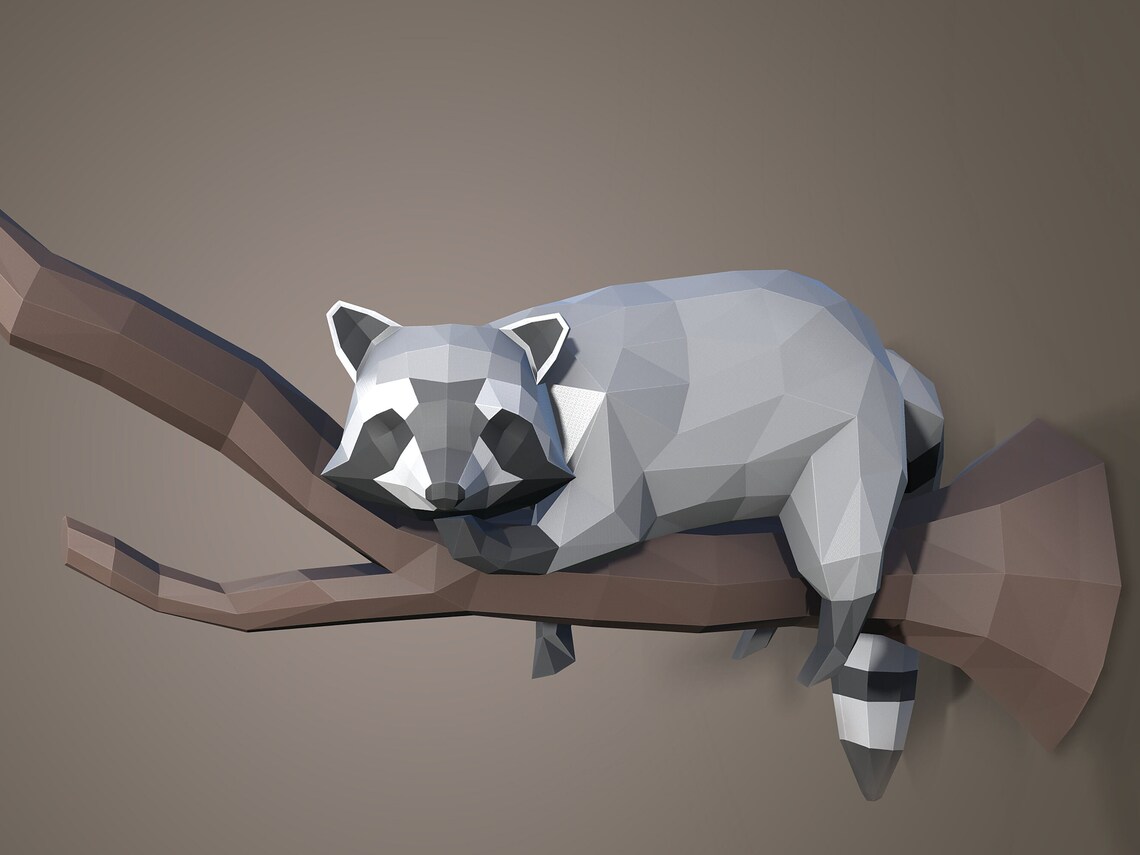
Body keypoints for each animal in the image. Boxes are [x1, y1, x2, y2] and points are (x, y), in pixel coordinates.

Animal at [322, 270, 943, 686]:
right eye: (394, 425)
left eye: (495, 427)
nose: (446, 495)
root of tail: (878, 351)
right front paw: (551, 633)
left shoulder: (611, 433)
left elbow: (595, 524)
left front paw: (491, 541)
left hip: (852, 434)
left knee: (843, 541)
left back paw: (832, 639)